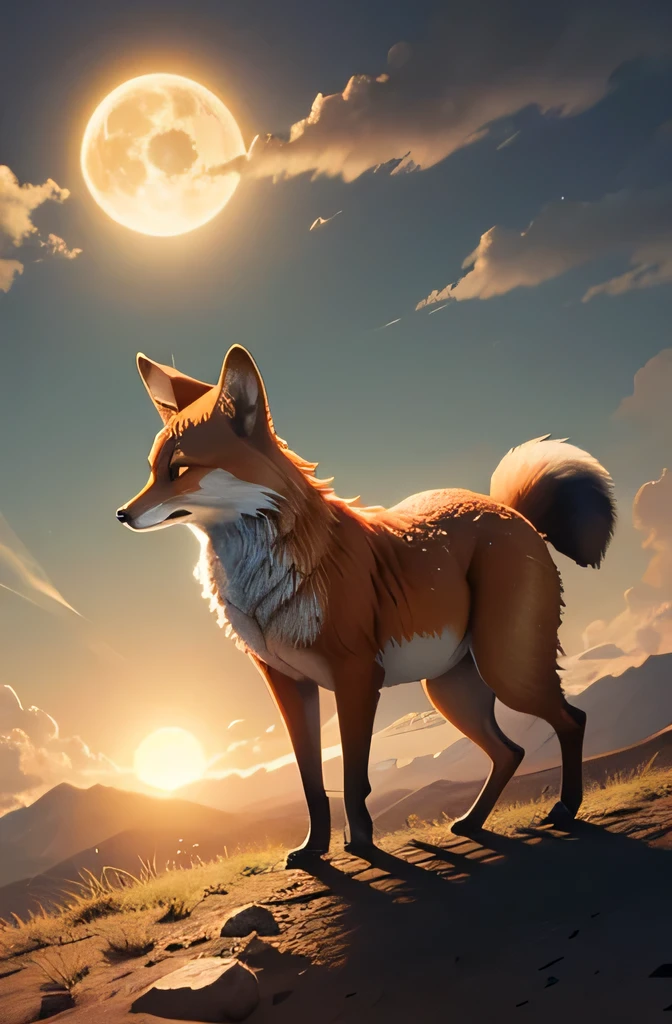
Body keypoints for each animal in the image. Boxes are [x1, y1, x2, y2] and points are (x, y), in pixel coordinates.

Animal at [117, 344, 616, 865]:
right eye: (153, 469)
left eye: (179, 469)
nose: (122, 514)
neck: (268, 585)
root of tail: (509, 511)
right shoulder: (287, 684)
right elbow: (311, 782)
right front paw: (313, 849)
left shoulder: (356, 676)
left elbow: (353, 777)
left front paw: (362, 846)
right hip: (451, 690)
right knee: (510, 751)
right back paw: (472, 823)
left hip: (507, 670)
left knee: (572, 720)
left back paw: (566, 808)